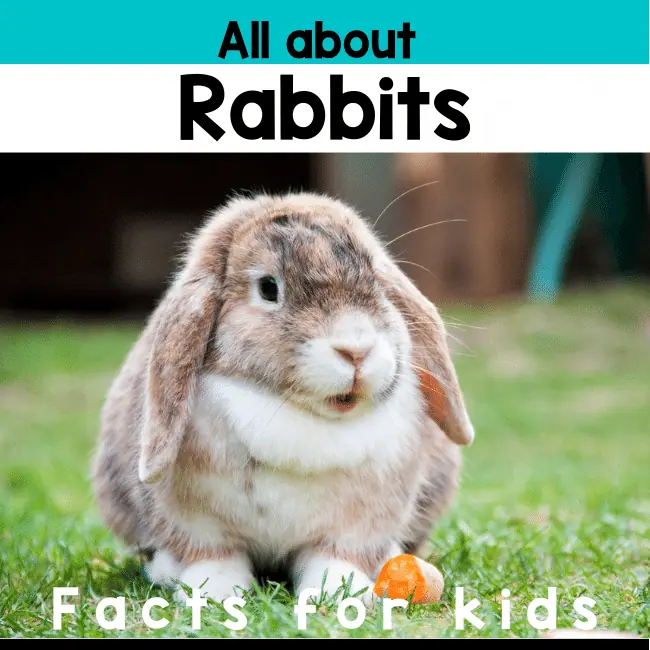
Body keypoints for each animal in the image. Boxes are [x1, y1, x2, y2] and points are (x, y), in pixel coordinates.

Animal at [91, 191, 475, 607]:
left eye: (375, 278)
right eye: (268, 288)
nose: (356, 350)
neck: (296, 413)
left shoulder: (358, 525)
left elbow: (335, 558)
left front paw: (338, 593)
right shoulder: (196, 523)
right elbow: (214, 556)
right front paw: (215, 593)